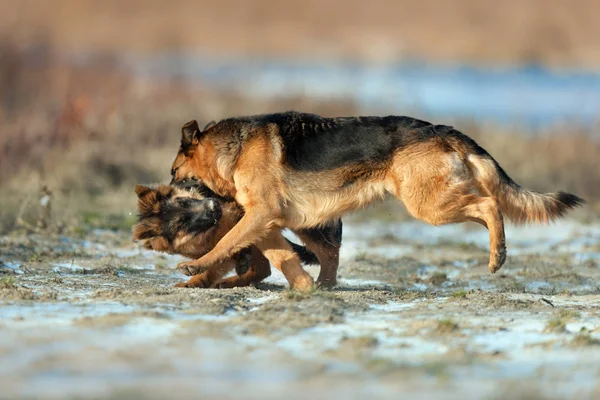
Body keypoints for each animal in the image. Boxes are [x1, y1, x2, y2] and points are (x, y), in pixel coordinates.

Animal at [132, 183, 342, 290]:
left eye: (184, 201)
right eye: (182, 222)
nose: (214, 206)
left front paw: (195, 279)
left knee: (329, 250)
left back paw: (325, 282)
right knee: (262, 269)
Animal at [171, 111, 584, 292]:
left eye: (176, 174)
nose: (168, 190)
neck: (232, 150)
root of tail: (442, 129)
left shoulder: (262, 213)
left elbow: (226, 241)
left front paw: (197, 266)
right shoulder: (271, 220)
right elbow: (269, 249)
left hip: (429, 205)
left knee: (489, 206)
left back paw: (497, 255)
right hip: (433, 201)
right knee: (484, 208)